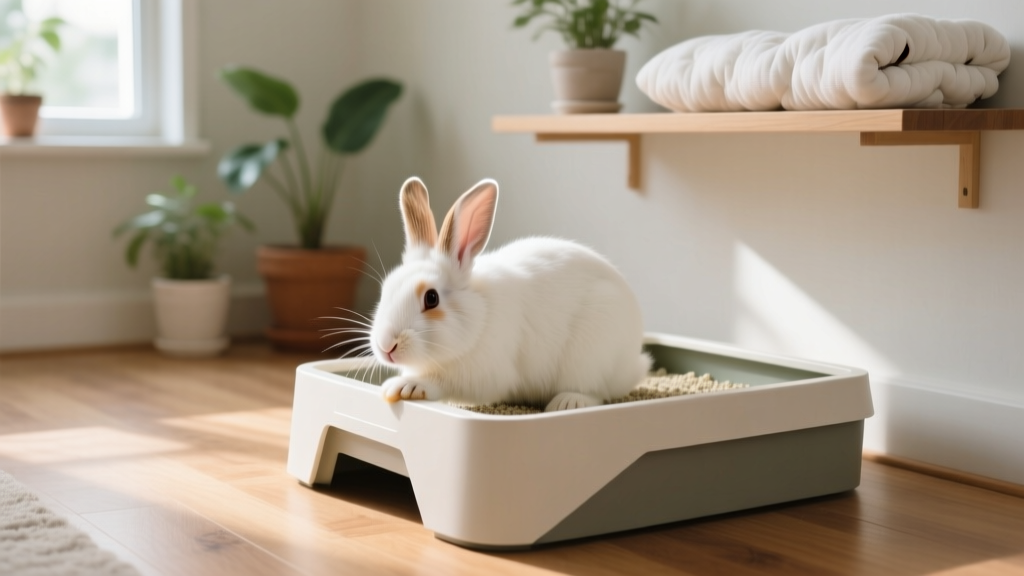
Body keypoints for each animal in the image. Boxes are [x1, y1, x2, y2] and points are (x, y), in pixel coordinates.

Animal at [370, 176, 651, 412]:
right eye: (385, 289)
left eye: (431, 298)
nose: (386, 346)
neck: (479, 315)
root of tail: (633, 364)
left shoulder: (483, 376)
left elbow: (444, 384)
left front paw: (406, 386)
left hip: (591, 356)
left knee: (595, 392)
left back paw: (567, 402)